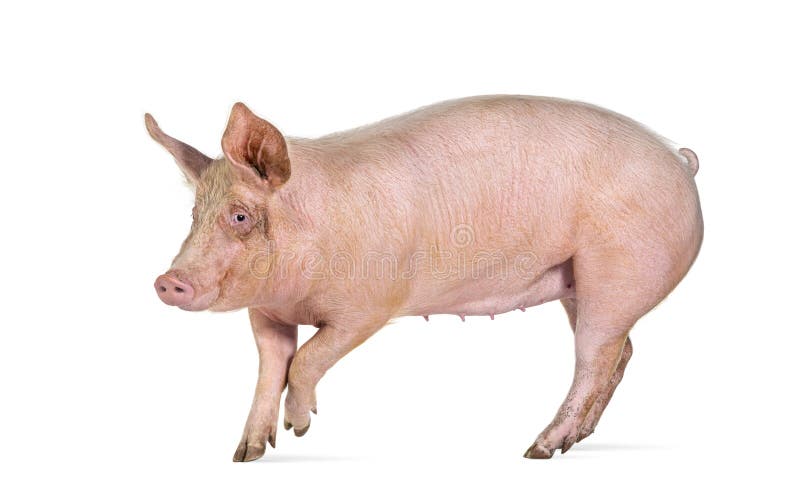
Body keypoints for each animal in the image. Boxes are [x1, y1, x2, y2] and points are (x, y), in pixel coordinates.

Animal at [147, 95, 703, 461]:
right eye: (194, 214)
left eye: (240, 216)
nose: (167, 281)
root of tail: (679, 162)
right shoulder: (266, 313)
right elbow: (270, 369)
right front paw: (247, 454)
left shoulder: (368, 307)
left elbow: (305, 362)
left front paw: (300, 428)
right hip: (580, 286)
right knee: (621, 354)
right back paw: (573, 441)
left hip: (619, 274)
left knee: (595, 359)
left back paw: (539, 450)